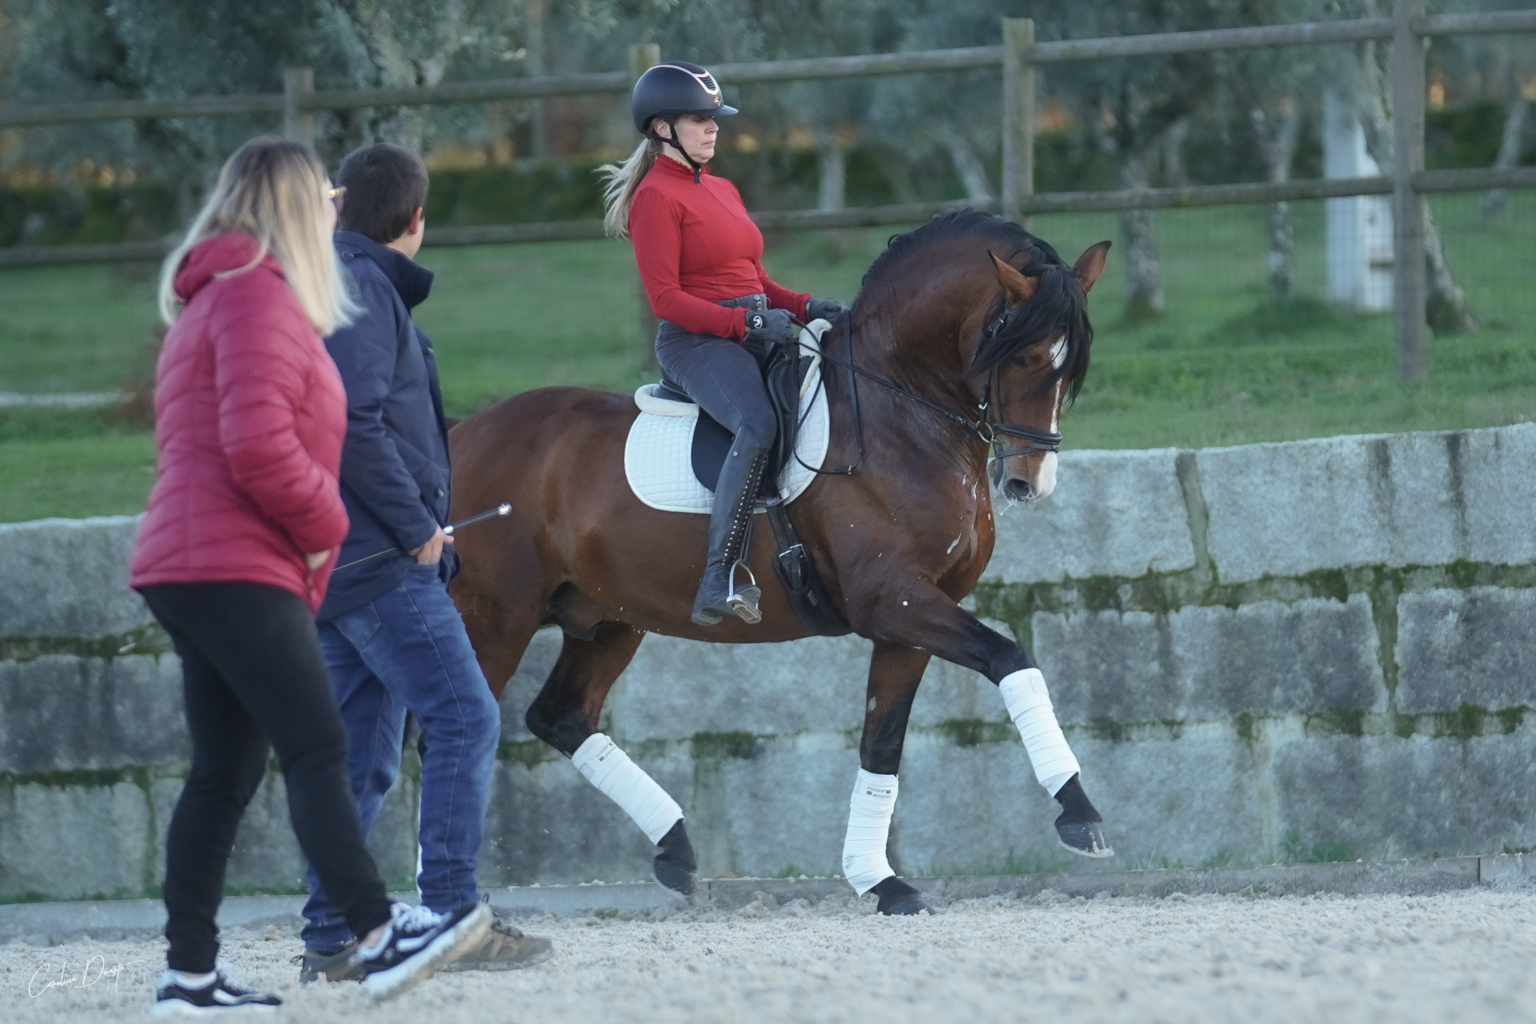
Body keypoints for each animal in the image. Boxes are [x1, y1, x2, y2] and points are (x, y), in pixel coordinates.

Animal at [448, 210, 1112, 914]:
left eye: (1073, 369)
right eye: (1023, 356)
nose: (1028, 483)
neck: (900, 413)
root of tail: (463, 433)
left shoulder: (908, 618)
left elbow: (882, 743)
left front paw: (881, 882)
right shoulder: (893, 600)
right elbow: (1011, 659)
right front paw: (1079, 815)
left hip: (606, 616)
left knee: (561, 715)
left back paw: (675, 849)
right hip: (497, 616)